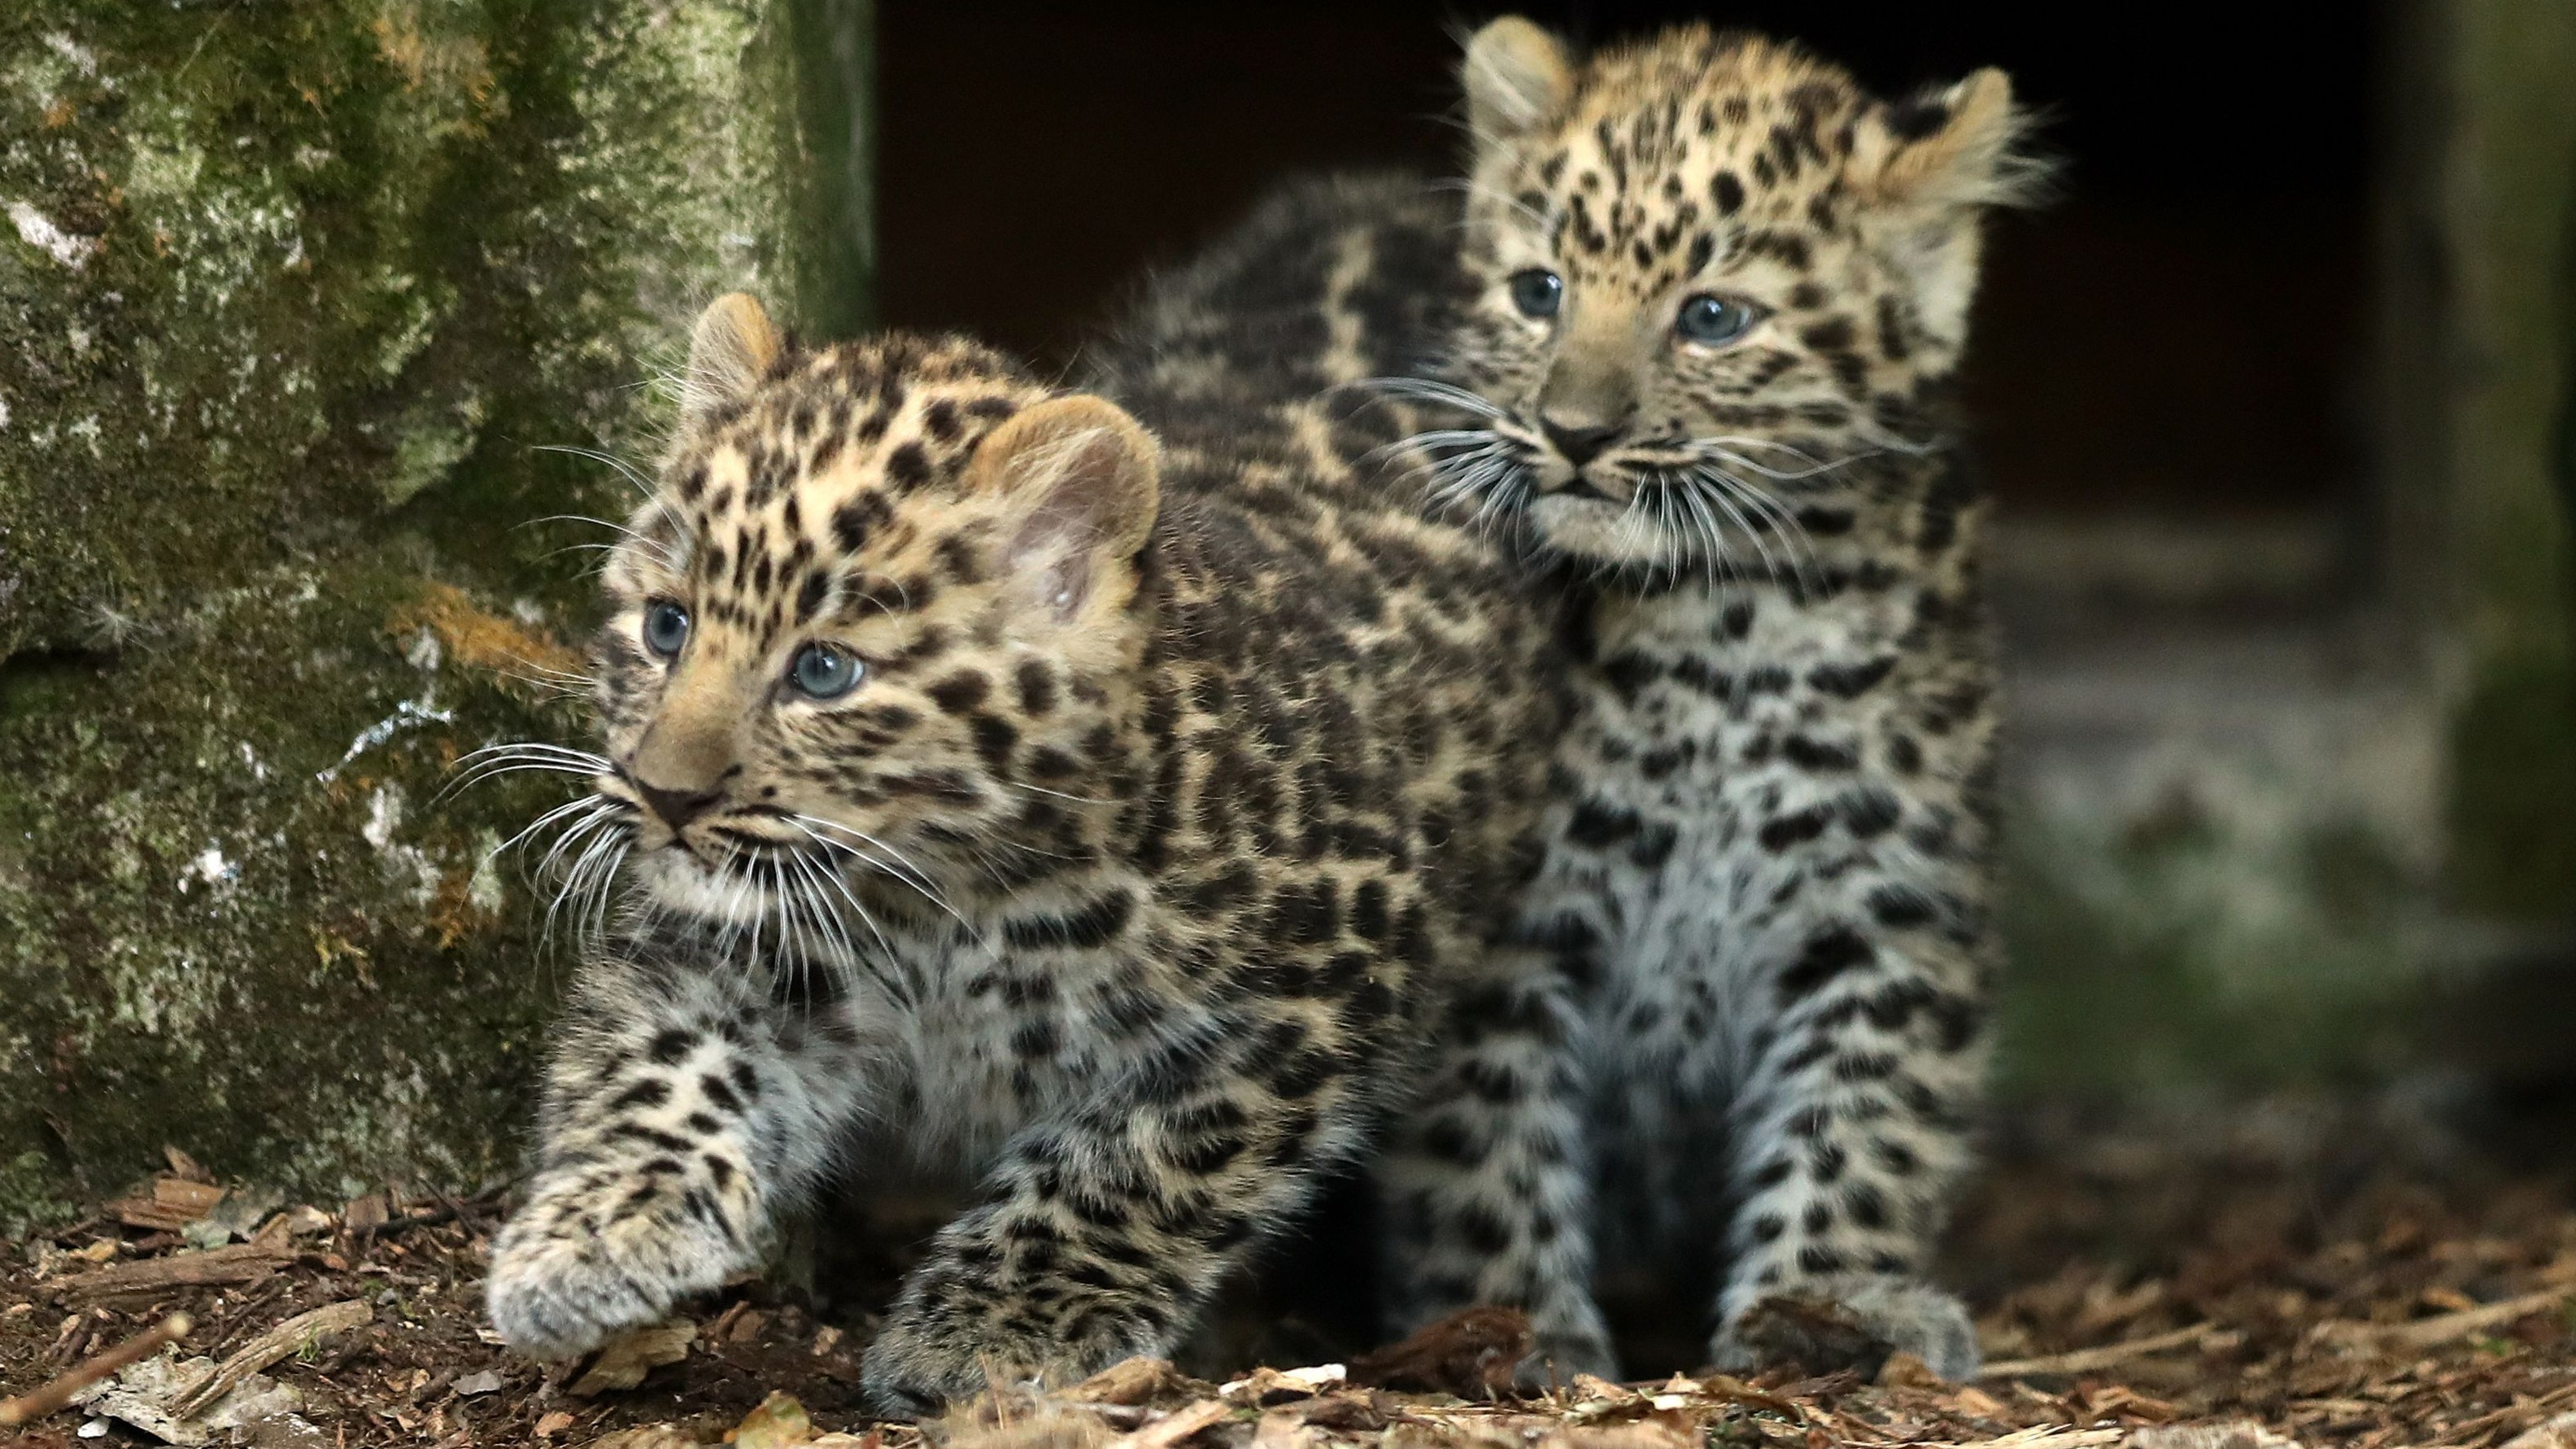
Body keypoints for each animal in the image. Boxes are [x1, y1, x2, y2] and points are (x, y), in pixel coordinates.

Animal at [477, 291, 1571, 1413]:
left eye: (825, 671)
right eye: (666, 625)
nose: (666, 795)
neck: (947, 895)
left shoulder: (1320, 985)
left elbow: (1141, 1157)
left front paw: (997, 1324)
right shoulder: (742, 941)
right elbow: (661, 1064)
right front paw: (587, 1236)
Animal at [1083, 19, 2038, 1381]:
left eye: (1711, 318)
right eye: (1538, 293)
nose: (1573, 432)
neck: (1714, 622)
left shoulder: (1885, 903)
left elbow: (1864, 1113)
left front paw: (1830, 1303)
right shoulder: (1500, 926)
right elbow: (1481, 1141)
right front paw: (1517, 1325)